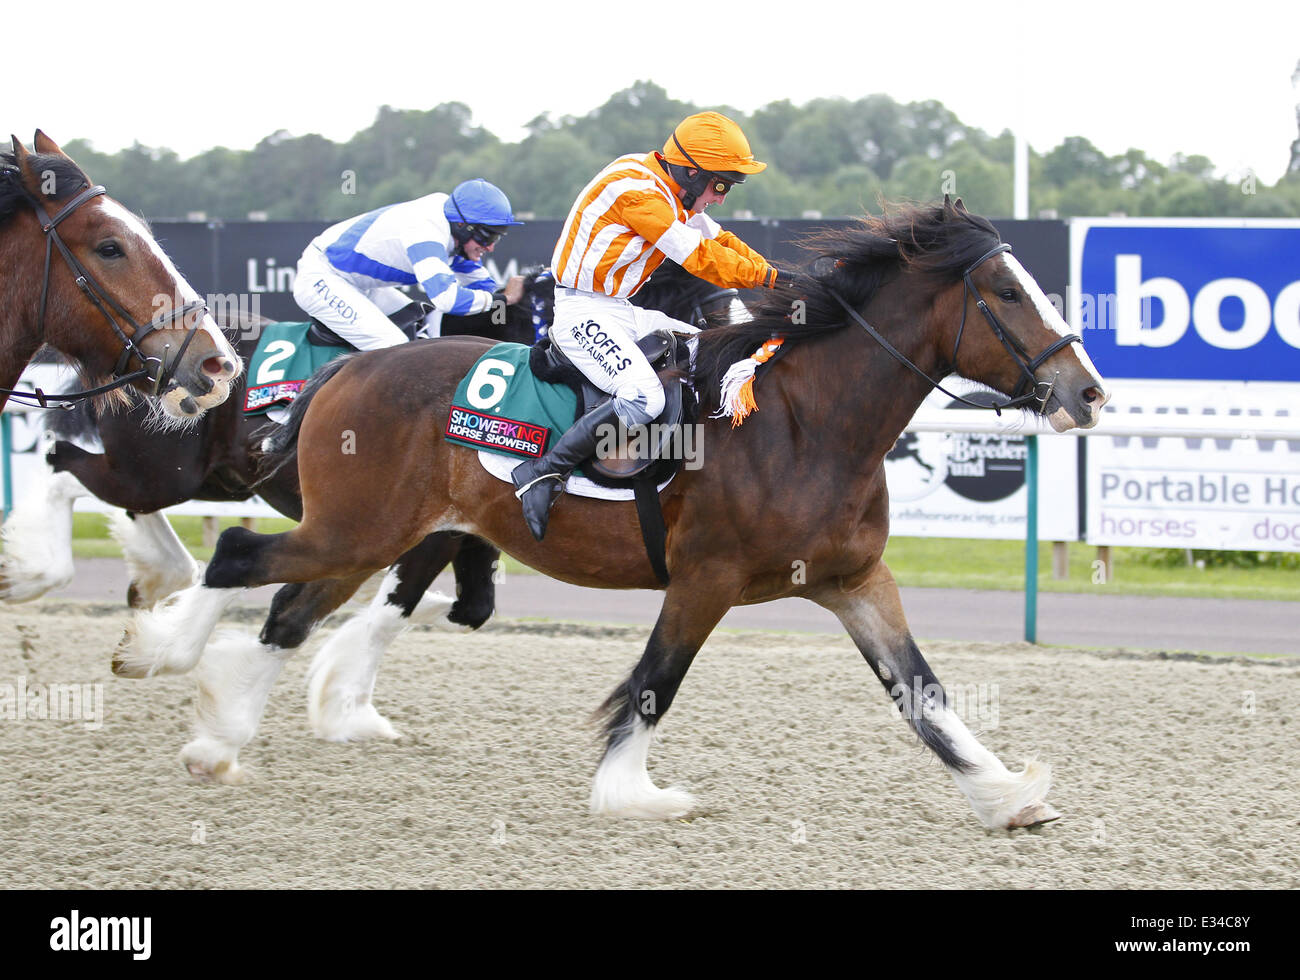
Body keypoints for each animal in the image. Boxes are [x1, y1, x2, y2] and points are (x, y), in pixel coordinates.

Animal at [115, 198, 1108, 829]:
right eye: (1009, 292)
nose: (1088, 390)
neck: (806, 422)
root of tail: (350, 367)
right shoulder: (707, 577)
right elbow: (656, 680)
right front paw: (631, 795)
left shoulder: (854, 580)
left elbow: (922, 693)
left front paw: (1006, 796)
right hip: (357, 528)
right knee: (239, 554)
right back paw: (165, 655)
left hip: (369, 535)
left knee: (285, 607)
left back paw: (218, 738)